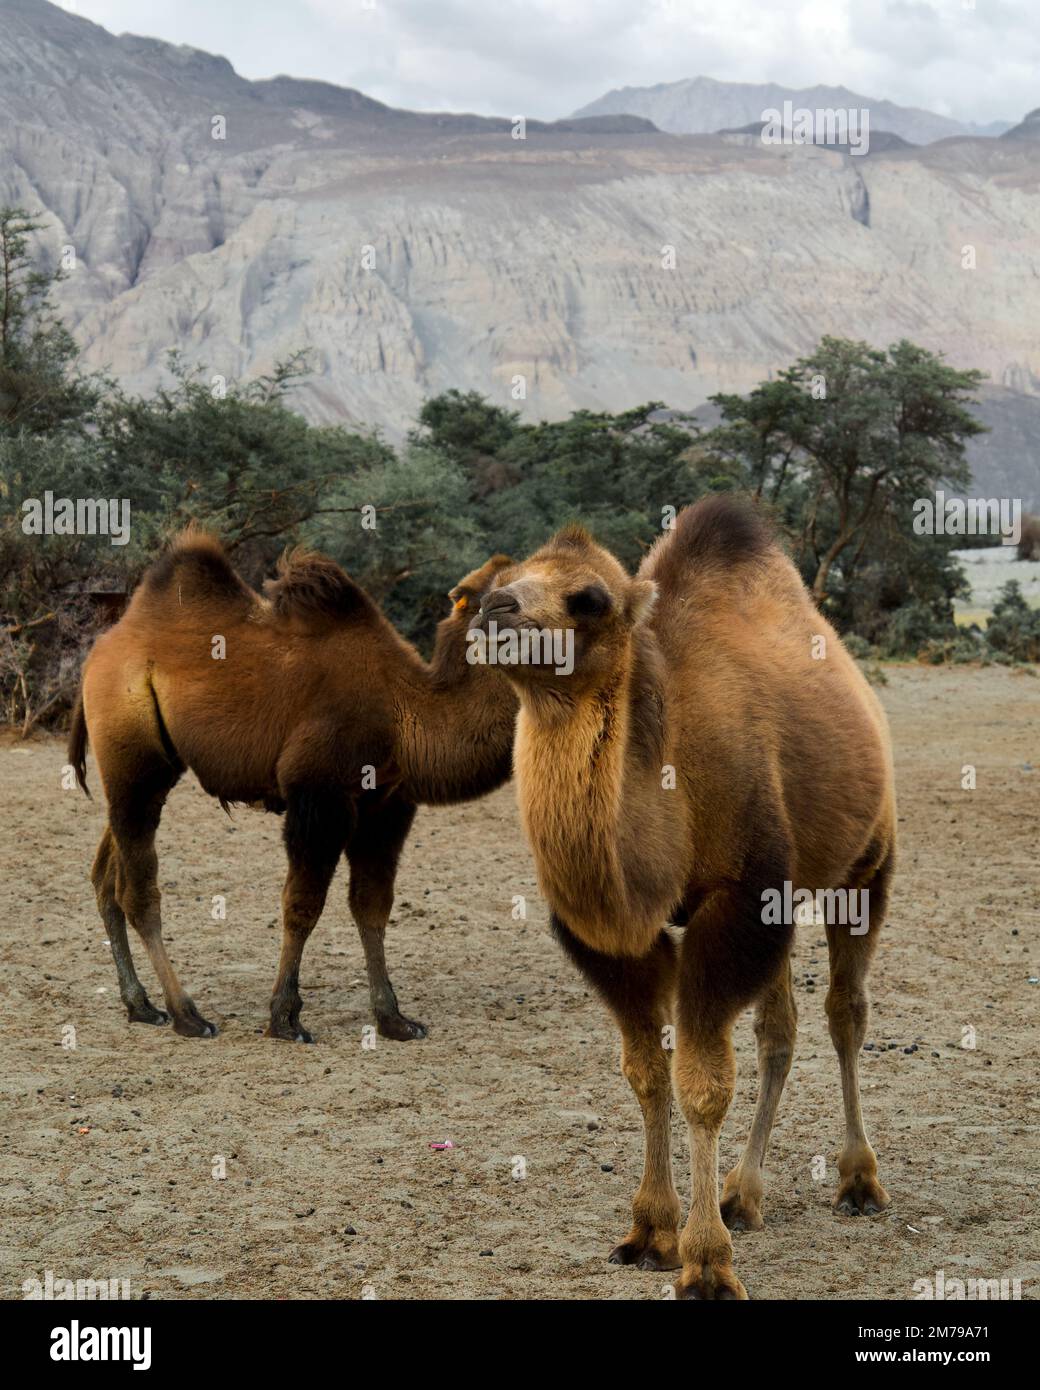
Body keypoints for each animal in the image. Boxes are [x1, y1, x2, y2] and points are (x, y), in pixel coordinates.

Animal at [68, 531, 517, 1042]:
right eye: (500, 598)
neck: (405, 707)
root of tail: (100, 653)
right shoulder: (318, 795)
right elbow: (302, 905)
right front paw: (285, 1017)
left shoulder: (386, 805)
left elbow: (372, 906)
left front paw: (394, 1018)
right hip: (131, 749)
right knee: (138, 889)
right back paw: (186, 1014)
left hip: (152, 767)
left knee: (107, 875)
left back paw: (140, 1005)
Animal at [476, 495, 895, 1299]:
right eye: (498, 579)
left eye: (589, 599)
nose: (493, 611)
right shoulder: (617, 934)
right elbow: (647, 1073)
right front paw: (650, 1233)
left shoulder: (736, 899)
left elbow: (702, 1083)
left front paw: (706, 1265)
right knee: (780, 1029)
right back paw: (744, 1193)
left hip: (869, 863)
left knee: (844, 1014)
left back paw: (859, 1181)